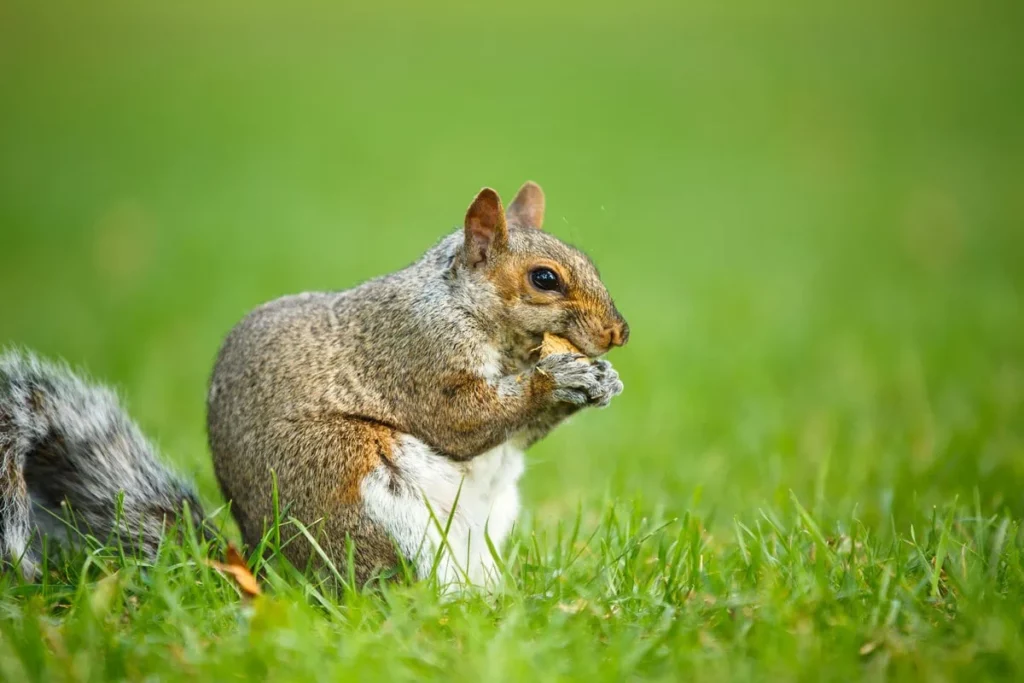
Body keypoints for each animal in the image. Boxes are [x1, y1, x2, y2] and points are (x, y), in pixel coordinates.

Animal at [1, 182, 628, 587]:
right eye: (544, 279)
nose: (618, 333)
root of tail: (265, 567)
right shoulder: (415, 355)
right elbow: (462, 421)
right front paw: (556, 379)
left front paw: (600, 382)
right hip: (353, 481)